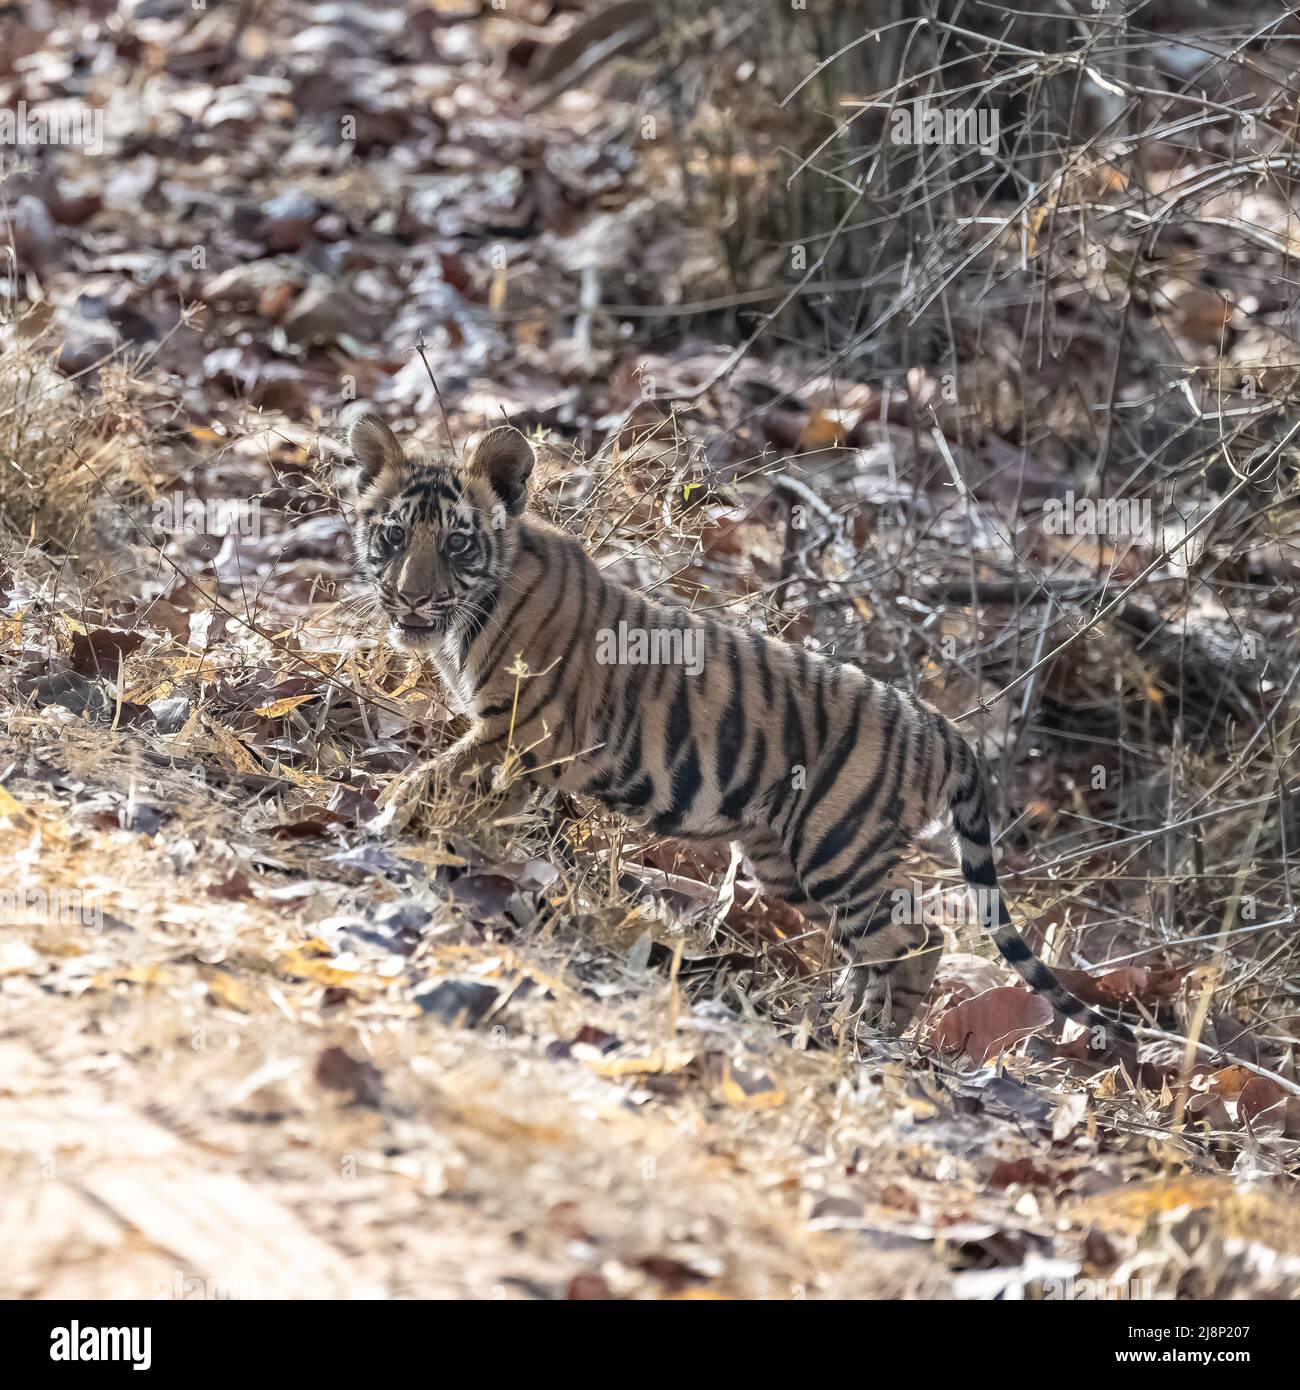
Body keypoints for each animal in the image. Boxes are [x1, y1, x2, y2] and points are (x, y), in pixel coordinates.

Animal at [338, 411, 1133, 1047]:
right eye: (393, 536)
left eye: (457, 544)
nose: (410, 599)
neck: (473, 613)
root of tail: (943, 728)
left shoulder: (521, 732)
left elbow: (436, 776)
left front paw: (389, 821)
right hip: (791, 861)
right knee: (887, 939)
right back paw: (843, 1015)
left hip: (836, 848)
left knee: (915, 938)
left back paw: (872, 1035)